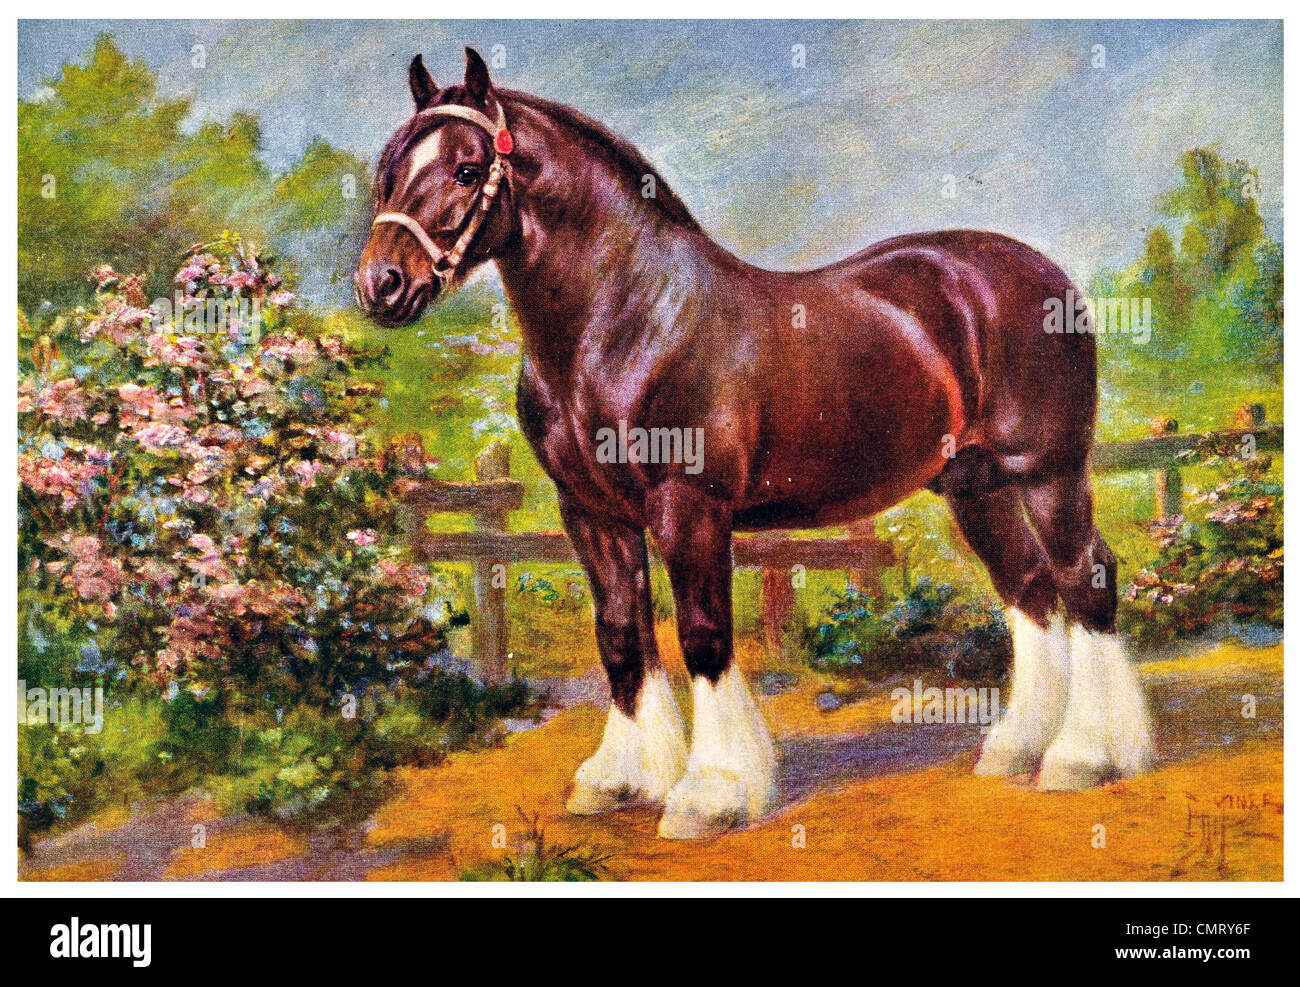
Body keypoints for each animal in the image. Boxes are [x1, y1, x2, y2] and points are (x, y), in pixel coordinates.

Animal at [355, 48, 1155, 839]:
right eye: (389, 167)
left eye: (466, 169)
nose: (381, 286)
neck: (629, 320)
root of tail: (1034, 271)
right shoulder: (590, 512)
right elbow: (620, 635)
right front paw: (617, 778)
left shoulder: (689, 508)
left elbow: (703, 637)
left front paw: (711, 790)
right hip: (975, 485)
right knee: (1030, 588)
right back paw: (1018, 747)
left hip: (1047, 472)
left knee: (1085, 578)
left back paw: (1086, 756)